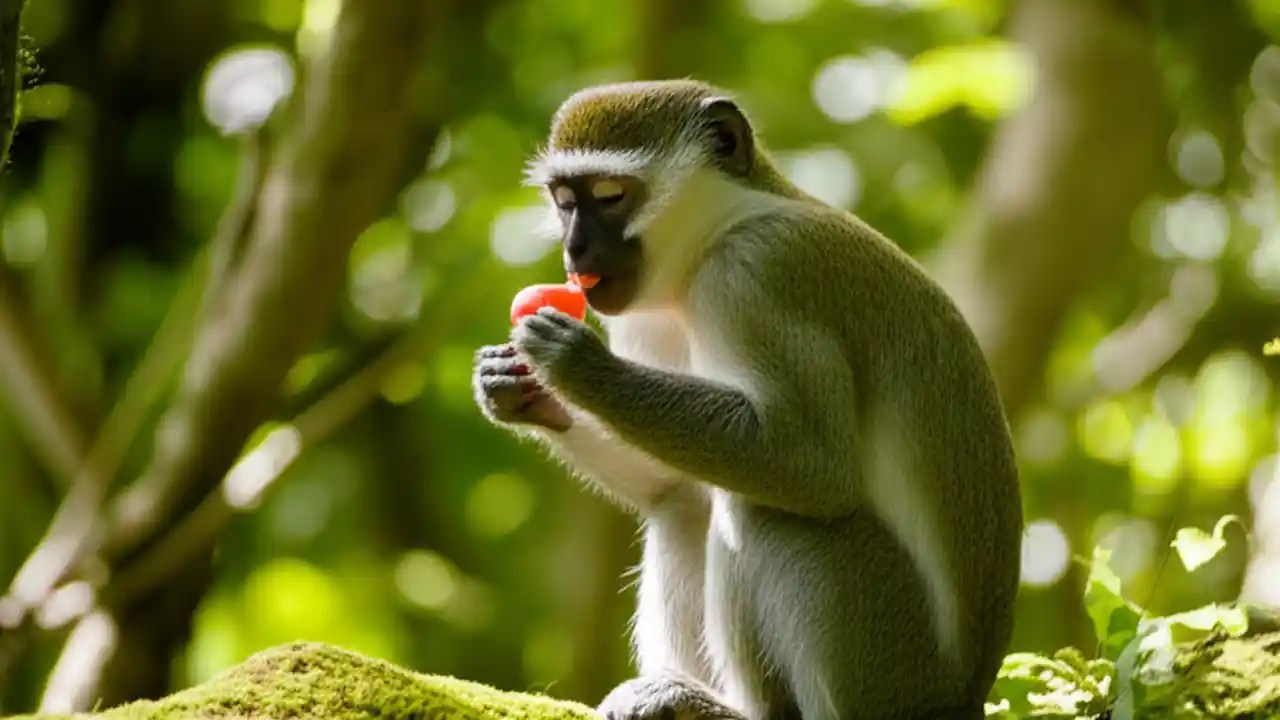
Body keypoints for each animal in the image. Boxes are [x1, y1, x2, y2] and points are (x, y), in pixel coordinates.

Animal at [472, 80, 1022, 720]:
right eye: (564, 201)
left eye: (610, 197)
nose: (575, 250)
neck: (720, 228)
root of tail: (961, 699)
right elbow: (671, 480)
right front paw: (512, 390)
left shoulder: (757, 273)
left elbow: (811, 465)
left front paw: (577, 366)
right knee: (684, 503)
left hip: (888, 665)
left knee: (764, 510)